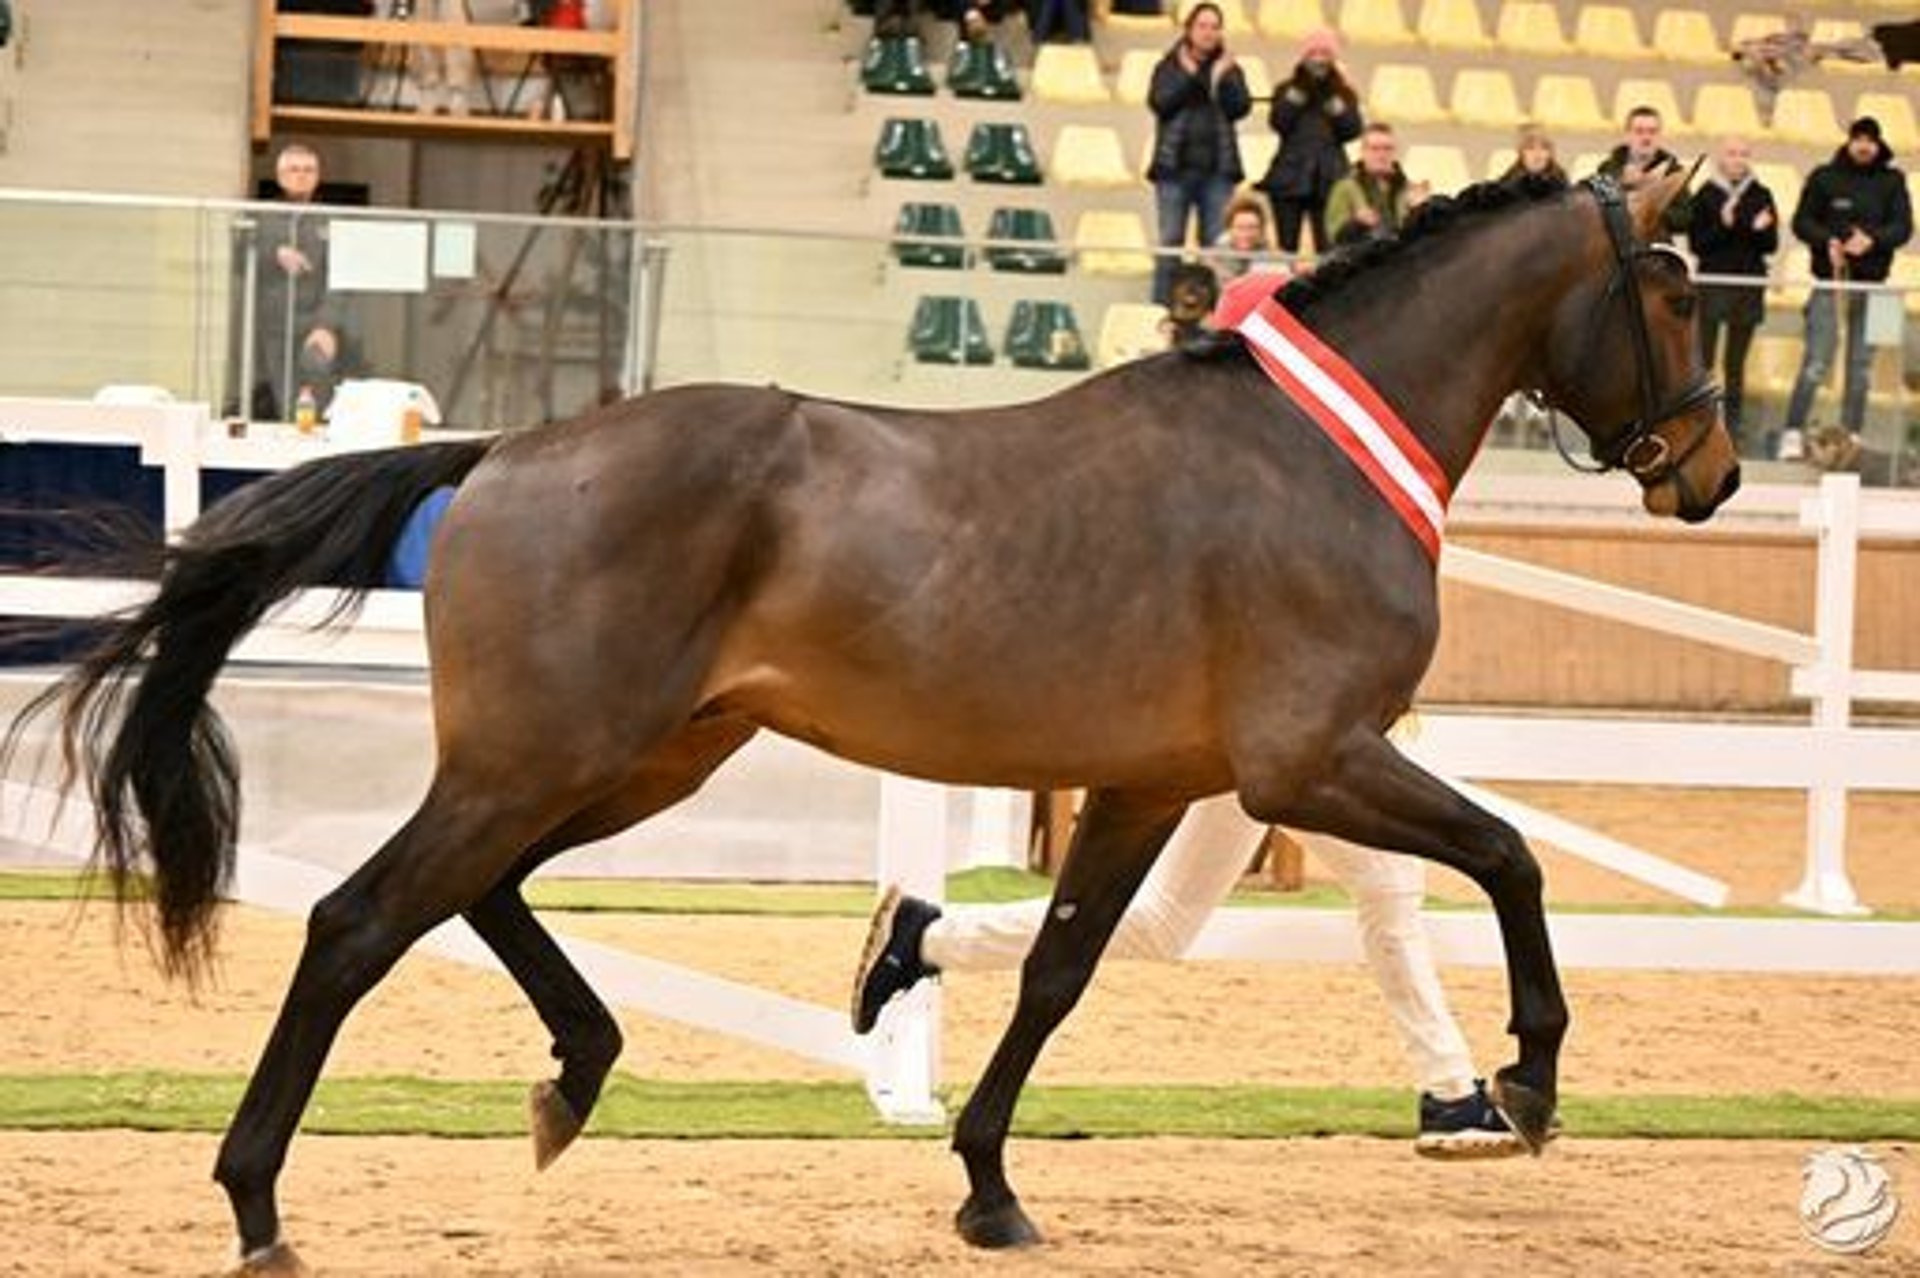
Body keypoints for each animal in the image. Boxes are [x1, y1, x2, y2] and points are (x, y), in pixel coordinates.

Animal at [6, 170, 1736, 1272]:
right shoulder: (1310, 761)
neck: (1310, 450)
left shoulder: (1150, 786)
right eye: (1671, 289)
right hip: (552, 757)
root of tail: (503, 451)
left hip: (631, 754)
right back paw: (256, 1202)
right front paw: (1528, 1080)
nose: (1710, 471)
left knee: (475, 892)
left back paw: (578, 1071)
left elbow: (1056, 970)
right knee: (362, 919)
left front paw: (986, 1185)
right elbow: (1511, 857)